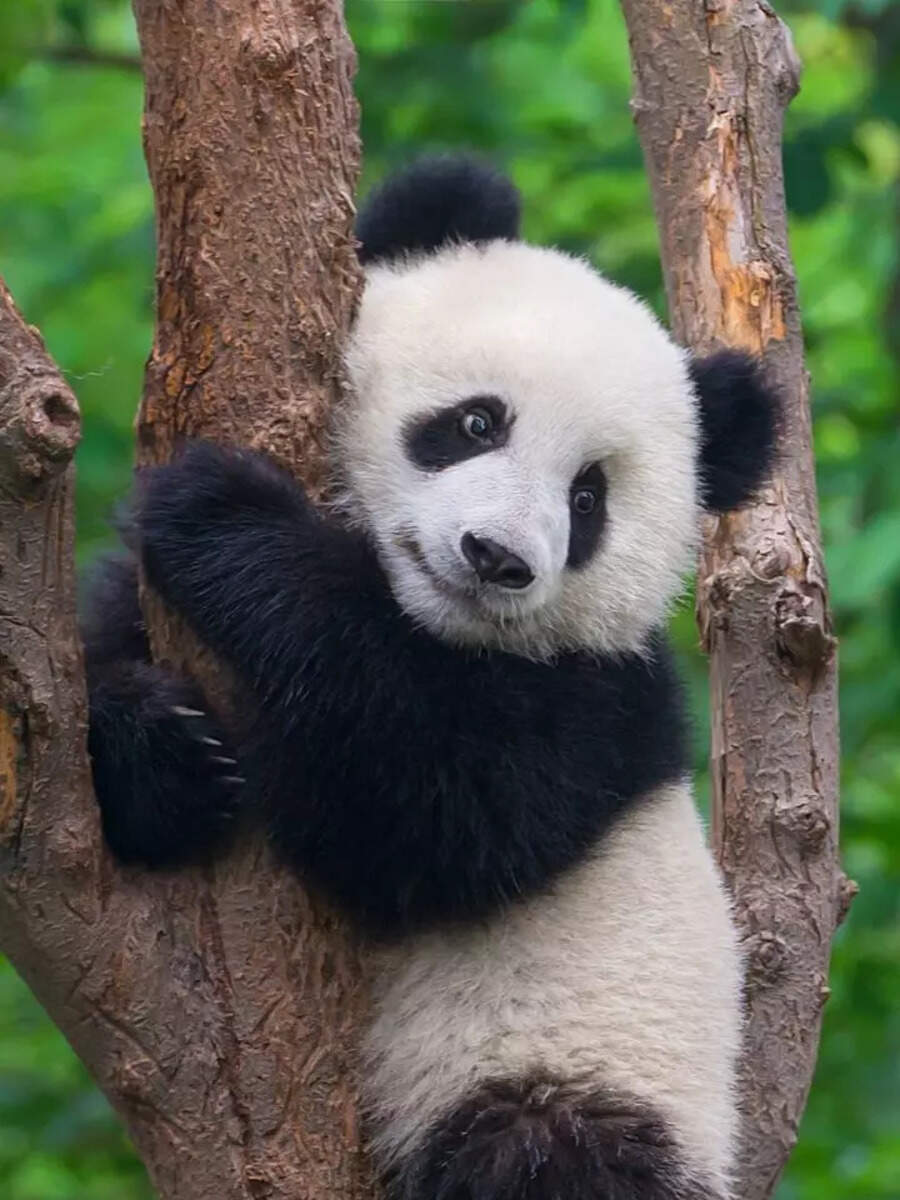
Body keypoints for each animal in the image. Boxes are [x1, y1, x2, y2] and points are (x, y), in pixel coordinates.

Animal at [81, 156, 779, 1200]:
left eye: (588, 498)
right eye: (476, 421)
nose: (496, 558)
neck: (427, 623)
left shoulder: (601, 701)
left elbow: (431, 818)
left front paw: (222, 516)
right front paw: (167, 756)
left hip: (578, 1072)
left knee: (545, 1152)